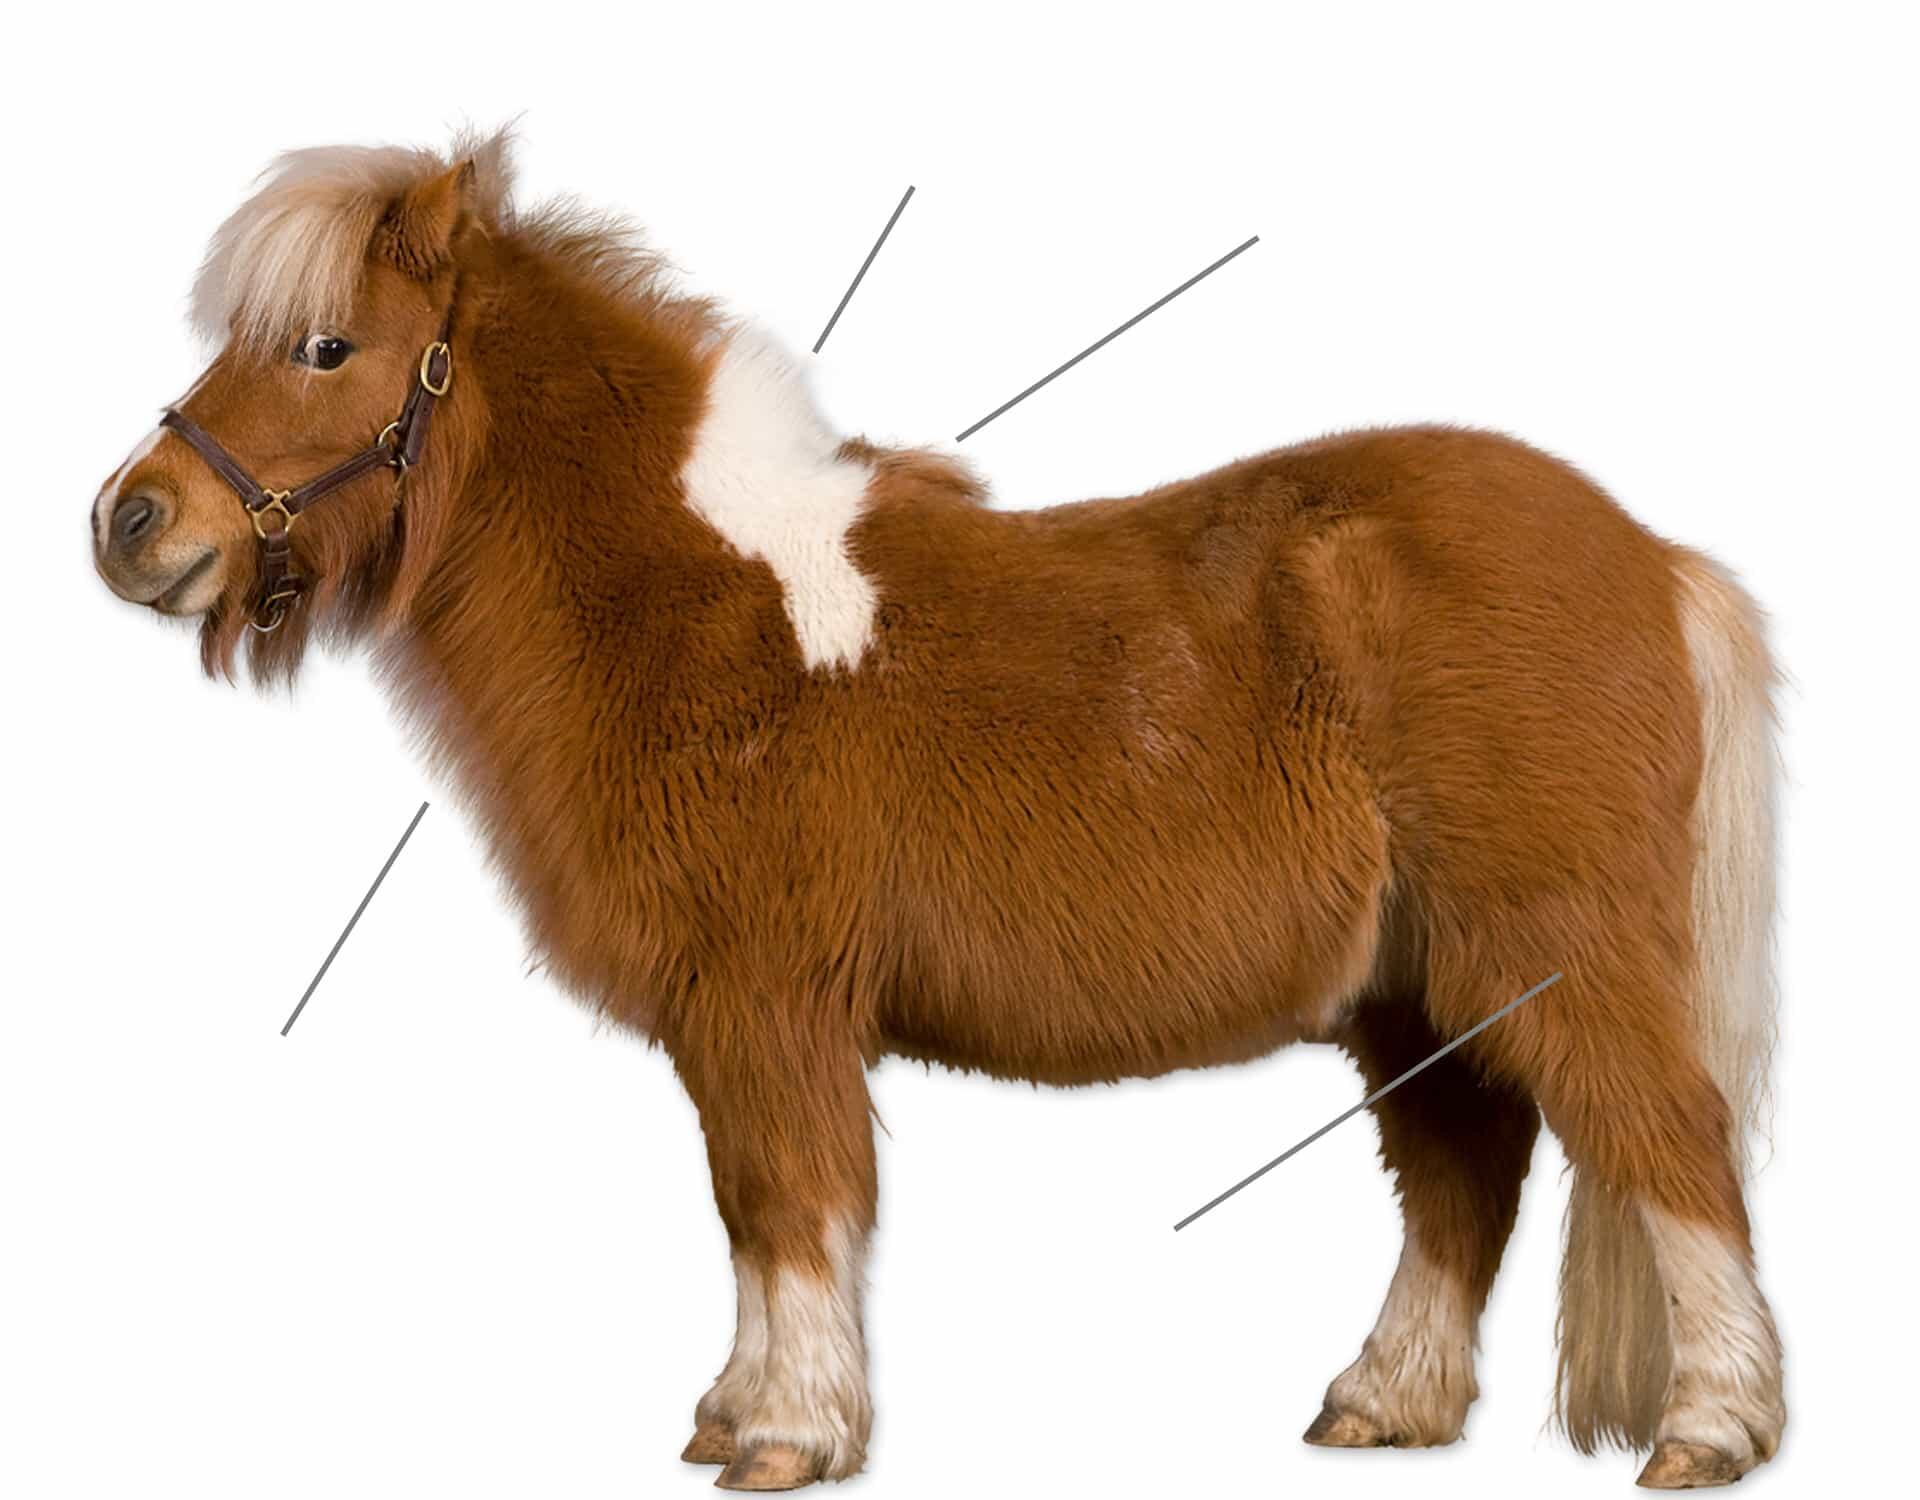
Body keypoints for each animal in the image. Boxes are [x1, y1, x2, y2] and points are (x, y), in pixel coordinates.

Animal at [89, 130, 1785, 1492]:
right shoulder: (737, 1019)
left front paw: (788, 1436)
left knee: (1669, 1149)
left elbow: (791, 1202)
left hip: (1558, 955)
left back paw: (1709, 1432)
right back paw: (1385, 1403)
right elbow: (751, 1209)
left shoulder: (767, 1003)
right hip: (1409, 987)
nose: (128, 521)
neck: (701, 604)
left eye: (326, 347)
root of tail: (1650, 557)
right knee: (1463, 1175)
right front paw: (735, 1411)